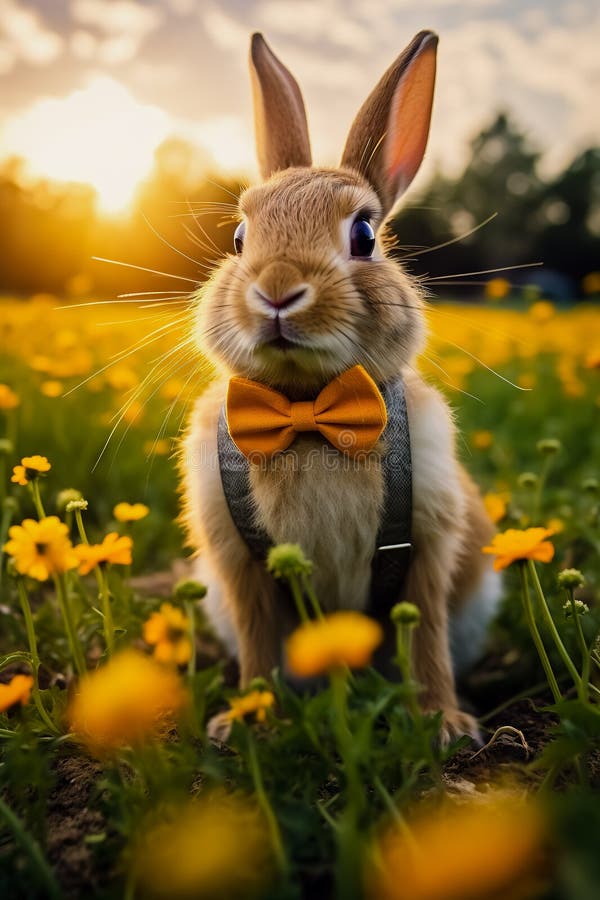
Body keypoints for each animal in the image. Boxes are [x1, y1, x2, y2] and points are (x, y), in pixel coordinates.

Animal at [181, 30, 501, 742]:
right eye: (239, 237)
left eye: (364, 234)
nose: (276, 289)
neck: (305, 408)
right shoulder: (240, 565)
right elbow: (258, 639)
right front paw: (247, 721)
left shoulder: (428, 544)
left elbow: (425, 633)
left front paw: (443, 724)